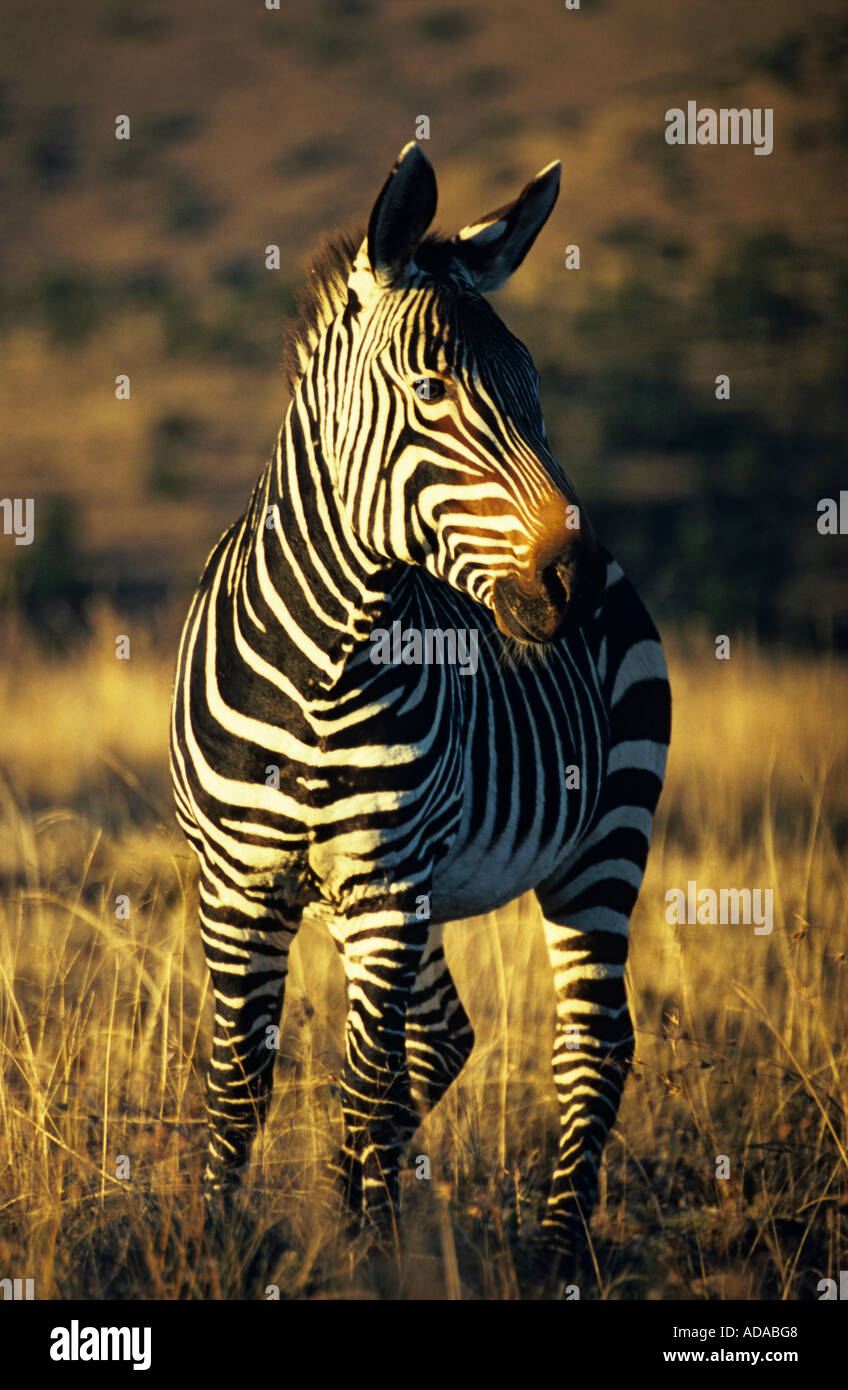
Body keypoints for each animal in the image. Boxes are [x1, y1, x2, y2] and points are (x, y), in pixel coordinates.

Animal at [169, 141, 671, 1275]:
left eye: (533, 390)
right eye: (431, 390)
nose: (573, 584)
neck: (324, 661)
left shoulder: (385, 881)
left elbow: (366, 1087)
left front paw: (362, 1258)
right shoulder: (239, 884)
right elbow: (240, 1085)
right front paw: (225, 1245)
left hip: (600, 844)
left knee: (592, 1039)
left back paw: (555, 1252)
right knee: (445, 1040)